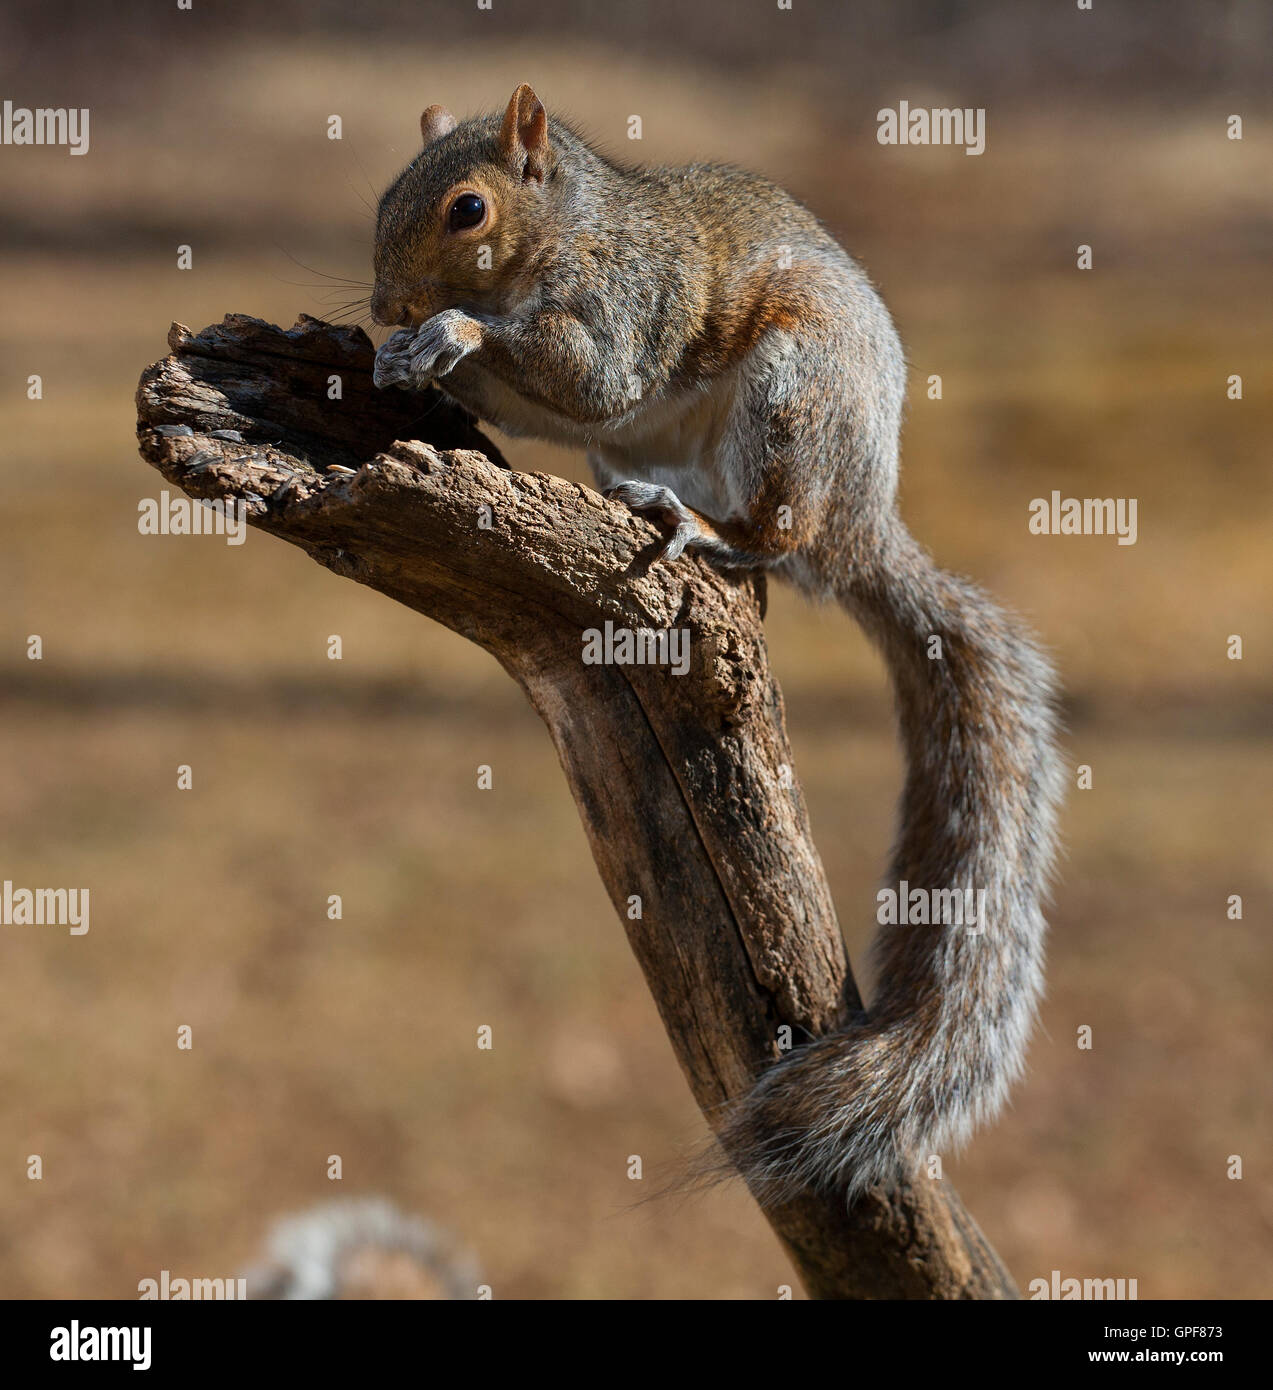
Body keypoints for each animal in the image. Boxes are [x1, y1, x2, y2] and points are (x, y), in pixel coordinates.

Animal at [368, 84, 1063, 1203]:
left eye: (466, 209)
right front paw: (401, 356)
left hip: (792, 393)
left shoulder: (629, 304)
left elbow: (588, 374)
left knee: (778, 534)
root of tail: (864, 521)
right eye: (387, 192)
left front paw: (453, 330)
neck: (568, 229)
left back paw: (708, 528)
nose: (386, 306)